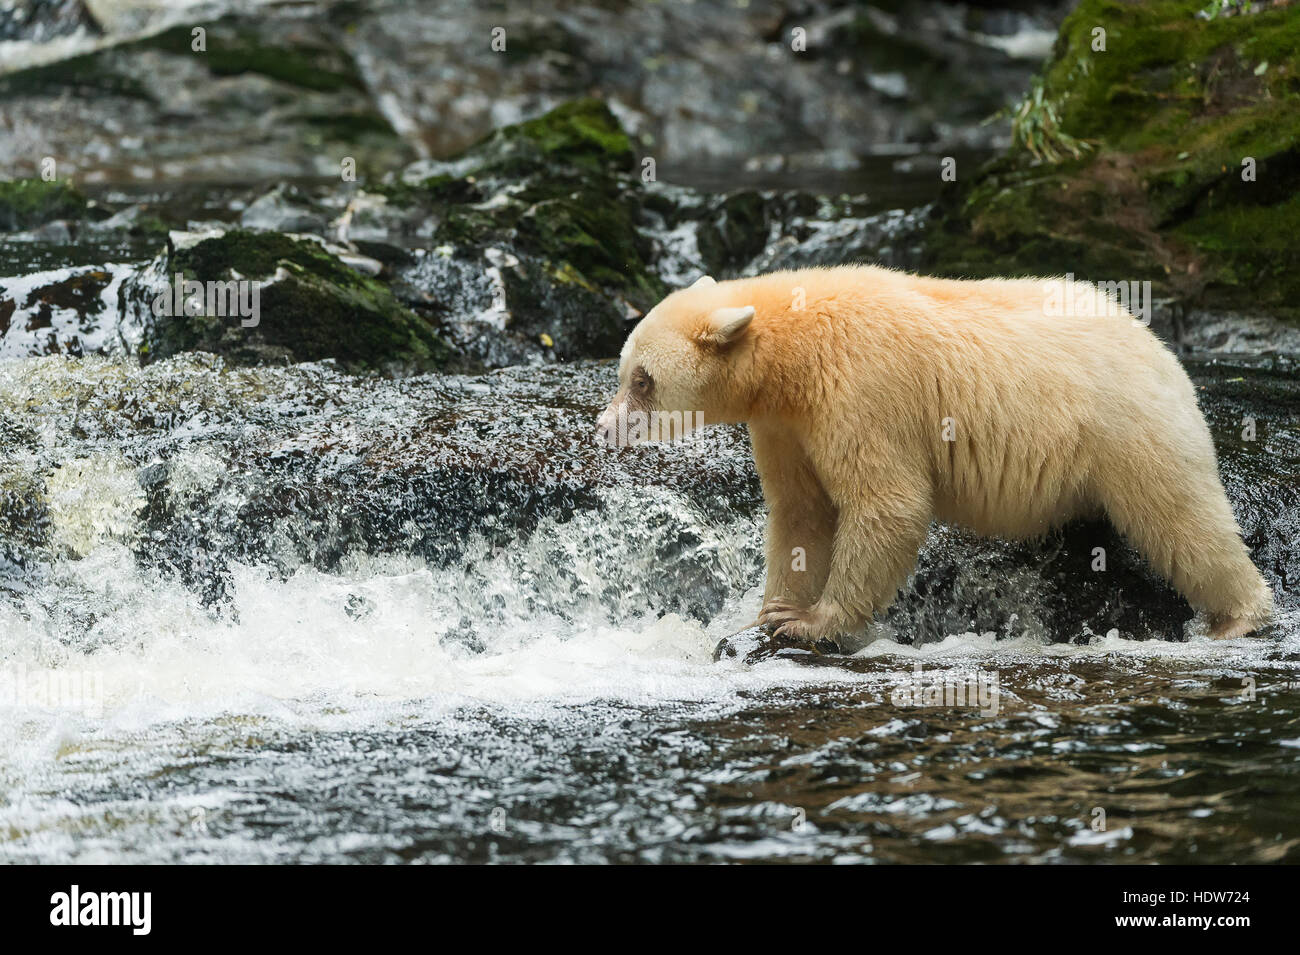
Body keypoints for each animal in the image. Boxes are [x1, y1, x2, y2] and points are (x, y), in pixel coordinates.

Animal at [595, 266, 1274, 645]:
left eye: (642, 380)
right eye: (624, 368)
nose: (605, 427)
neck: (793, 349)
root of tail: (1157, 345)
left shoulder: (863, 389)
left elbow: (886, 503)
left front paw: (816, 622)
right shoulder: (786, 425)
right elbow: (800, 511)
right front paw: (772, 612)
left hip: (1126, 426)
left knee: (1181, 517)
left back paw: (1240, 613)